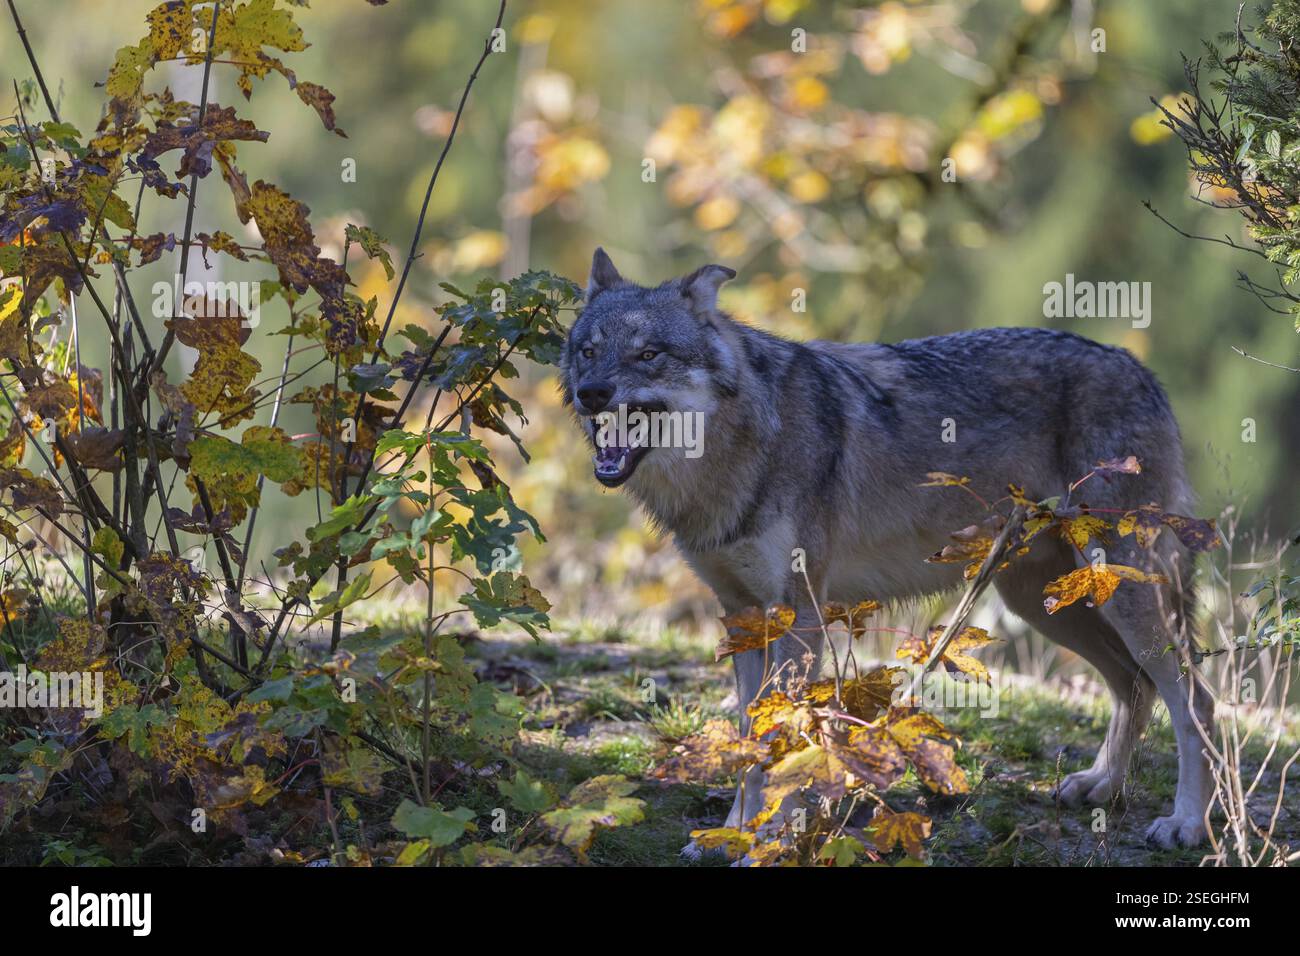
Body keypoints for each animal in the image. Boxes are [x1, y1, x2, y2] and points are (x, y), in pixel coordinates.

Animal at [560, 248, 1214, 851]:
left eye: (649, 354)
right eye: (588, 350)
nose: (591, 392)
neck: (737, 447)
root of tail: (1139, 368)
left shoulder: (798, 617)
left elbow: (780, 742)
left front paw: (769, 841)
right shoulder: (743, 616)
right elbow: (751, 738)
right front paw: (733, 834)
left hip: (1114, 591)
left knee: (1195, 699)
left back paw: (1186, 823)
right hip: (1045, 600)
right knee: (1135, 685)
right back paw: (1100, 786)